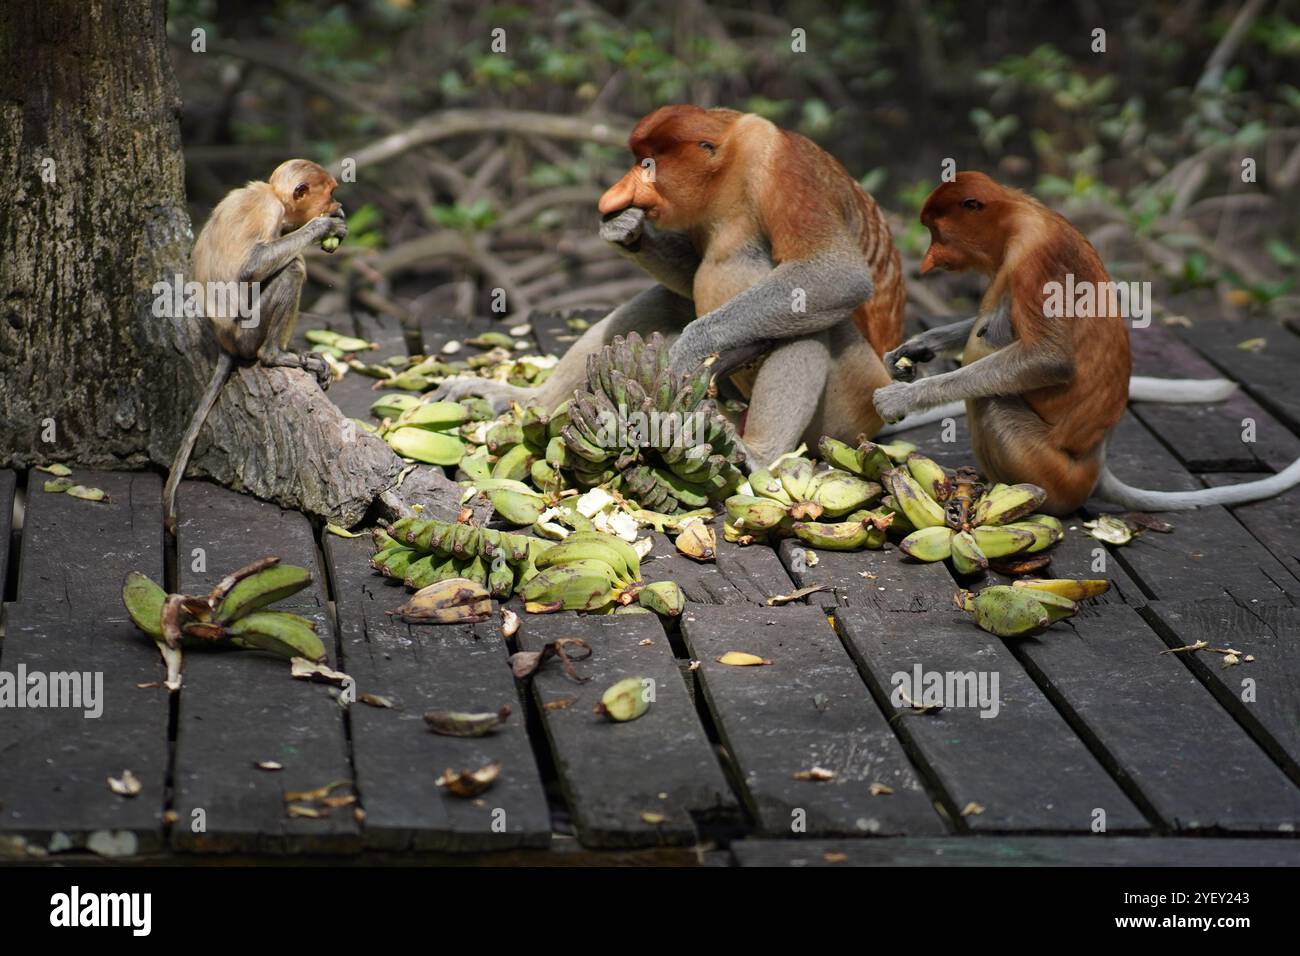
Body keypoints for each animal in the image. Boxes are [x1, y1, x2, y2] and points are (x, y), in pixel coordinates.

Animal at [162, 159, 347, 532]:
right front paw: (324, 226)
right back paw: (275, 355)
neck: (271, 192)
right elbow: (252, 267)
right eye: (330, 193)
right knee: (293, 268)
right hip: (247, 330)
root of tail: (224, 340)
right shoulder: (270, 210)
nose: (337, 205)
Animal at [431, 105, 905, 466]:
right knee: (666, 299)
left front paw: (687, 351)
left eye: (648, 163)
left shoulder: (782, 168)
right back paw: (527, 401)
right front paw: (625, 229)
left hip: (852, 402)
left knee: (812, 321)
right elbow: (689, 275)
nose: (616, 194)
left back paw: (757, 456)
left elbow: (836, 274)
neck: (729, 168)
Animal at [873, 170, 1300, 514]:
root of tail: (1097, 461)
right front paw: (916, 348)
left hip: (1052, 469)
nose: (927, 261)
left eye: (936, 231)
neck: (1019, 219)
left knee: (993, 403)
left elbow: (1049, 358)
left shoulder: (1037, 262)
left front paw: (902, 397)